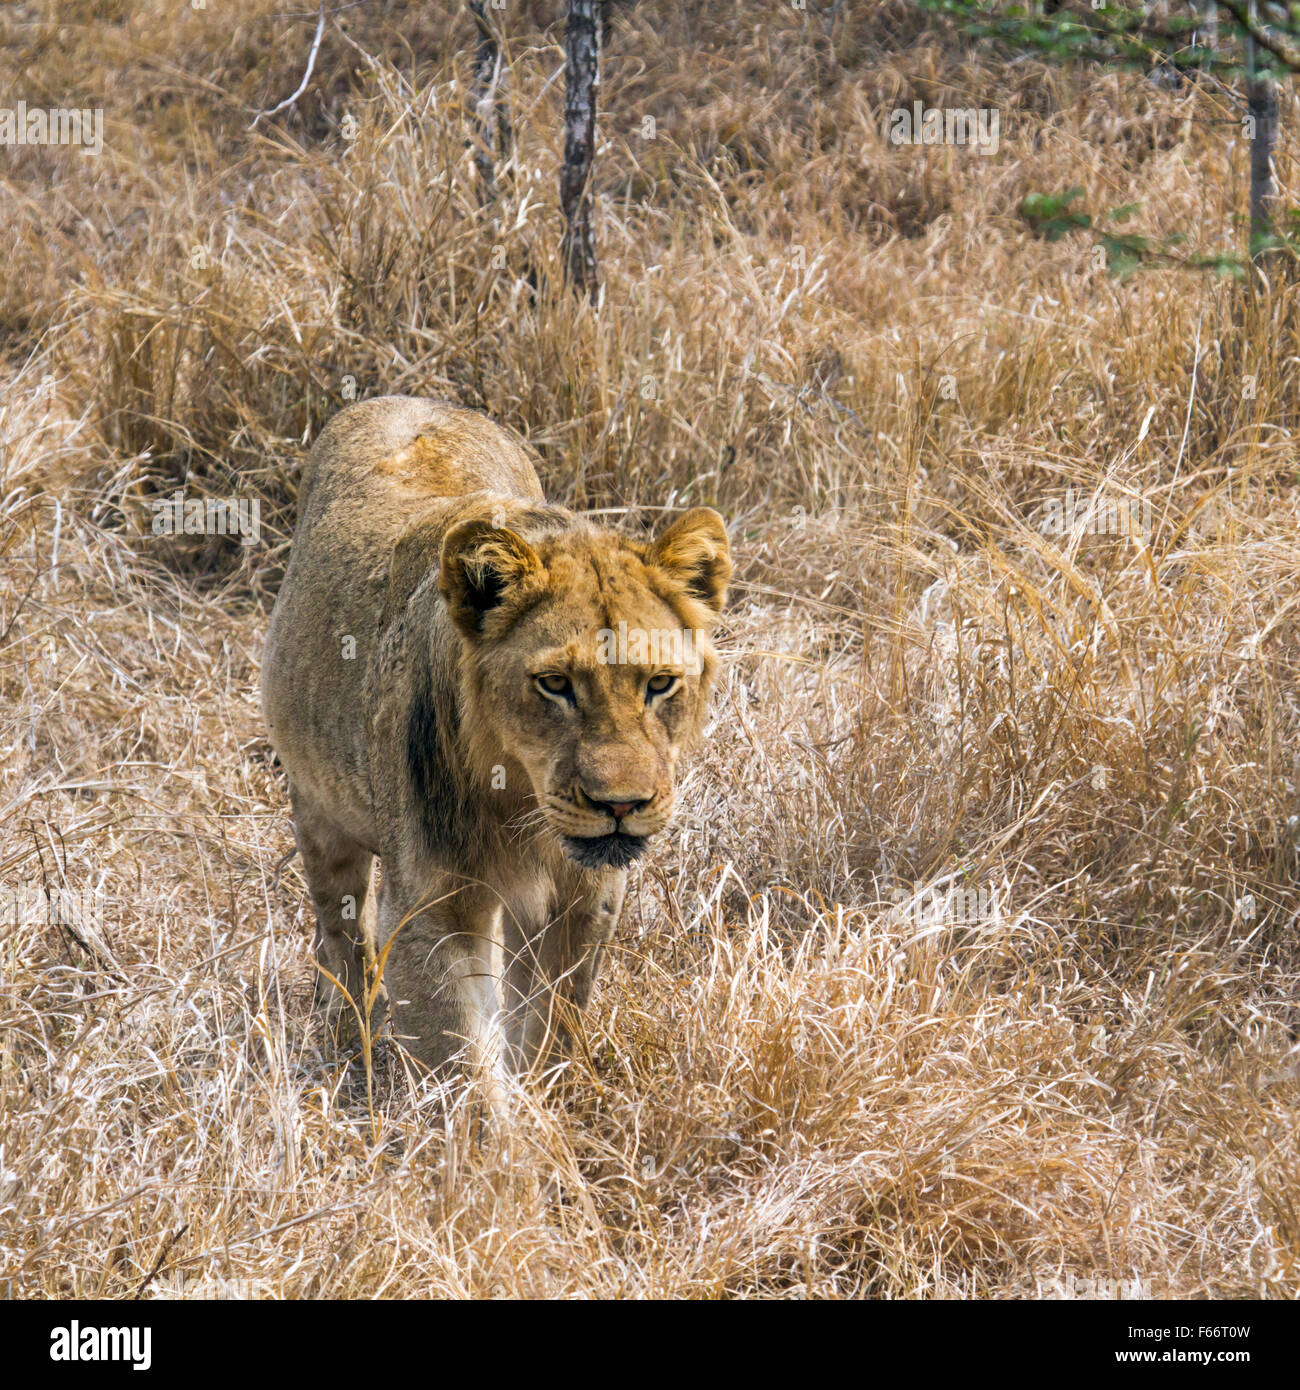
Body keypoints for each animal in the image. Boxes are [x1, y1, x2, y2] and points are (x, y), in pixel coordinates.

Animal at [261, 396, 731, 1093]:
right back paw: (348, 1041)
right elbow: (465, 1067)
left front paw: (546, 1099)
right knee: (340, 932)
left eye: (660, 683)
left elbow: (552, 1021)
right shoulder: (431, 904)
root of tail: (410, 397)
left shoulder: (586, 894)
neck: (520, 808)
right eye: (555, 684)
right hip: (318, 809)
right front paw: (498, 1122)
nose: (620, 805)